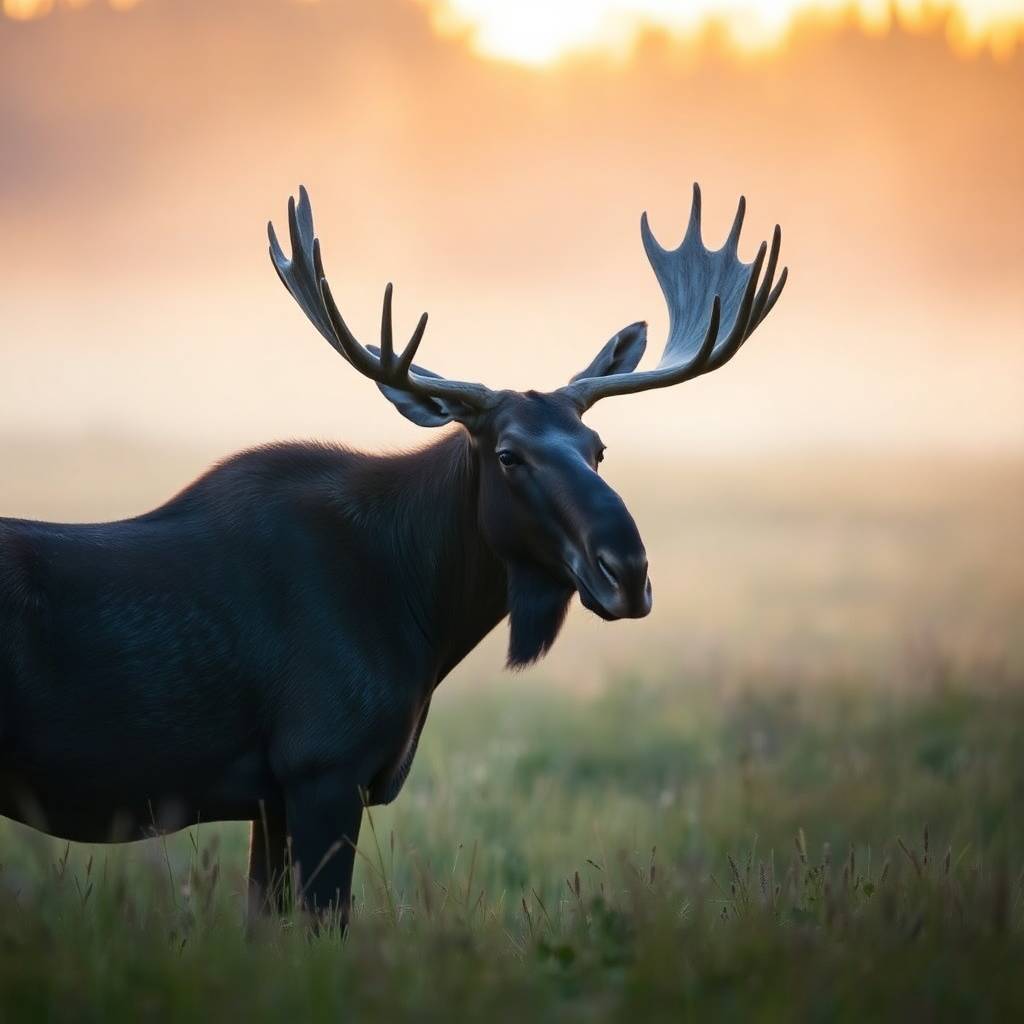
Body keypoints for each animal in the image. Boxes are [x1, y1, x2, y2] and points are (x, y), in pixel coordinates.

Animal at [0, 184, 786, 926]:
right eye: (508, 454)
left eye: (598, 449)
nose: (628, 572)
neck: (420, 616)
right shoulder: (323, 764)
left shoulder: (271, 795)